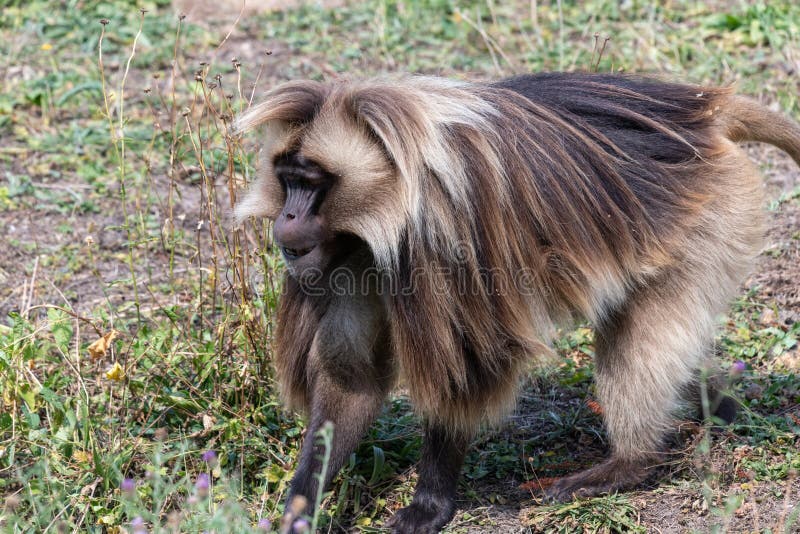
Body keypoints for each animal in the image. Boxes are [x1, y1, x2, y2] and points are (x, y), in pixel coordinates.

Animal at [233, 72, 800, 533]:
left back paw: (628, 466)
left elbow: (464, 367)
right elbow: (352, 379)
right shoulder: (352, 254)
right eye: (286, 179)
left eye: (310, 183)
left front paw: (430, 505)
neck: (392, 188)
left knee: (635, 341)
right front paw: (300, 507)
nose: (287, 219)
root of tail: (704, 114)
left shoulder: (442, 233)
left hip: (713, 218)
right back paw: (721, 407)